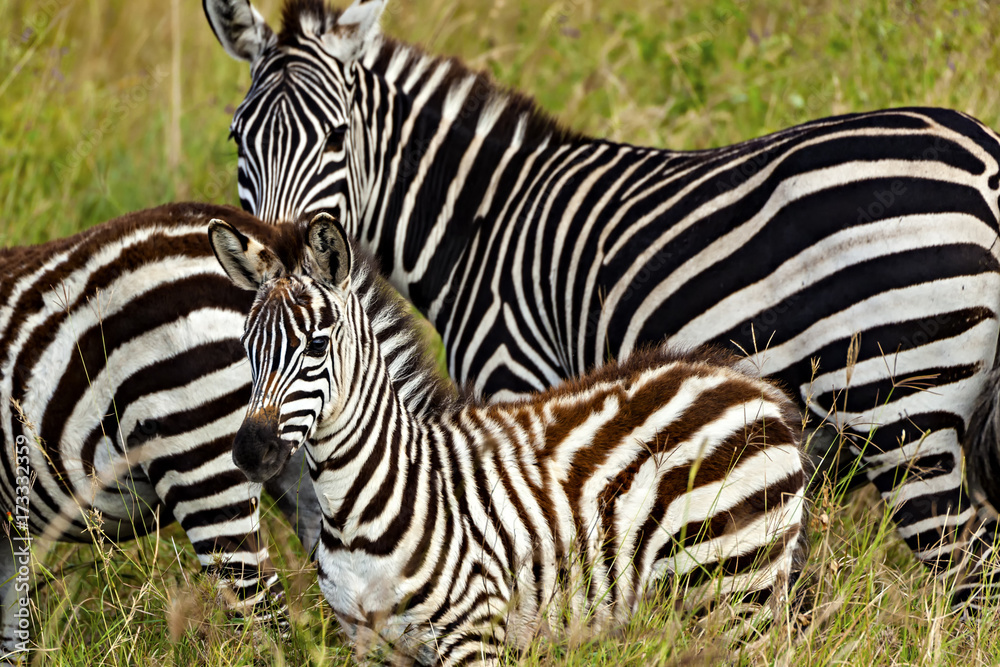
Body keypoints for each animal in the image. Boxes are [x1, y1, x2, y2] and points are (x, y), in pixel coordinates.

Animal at [0, 202, 445, 655]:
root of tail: (266, 236)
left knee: (265, 623)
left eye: (318, 345)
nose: (248, 452)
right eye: (247, 347)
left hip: (201, 468)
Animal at [203, 0, 1000, 608]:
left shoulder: (519, 383)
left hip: (902, 410)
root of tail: (985, 159)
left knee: (970, 577)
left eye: (339, 136)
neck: (481, 225)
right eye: (238, 138)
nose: (278, 263)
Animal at [210, 211, 809, 665]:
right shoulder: (370, 645)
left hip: (737, 588)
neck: (358, 509)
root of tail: (748, 384)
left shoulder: (471, 640)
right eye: (244, 348)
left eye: (315, 345)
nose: (249, 452)